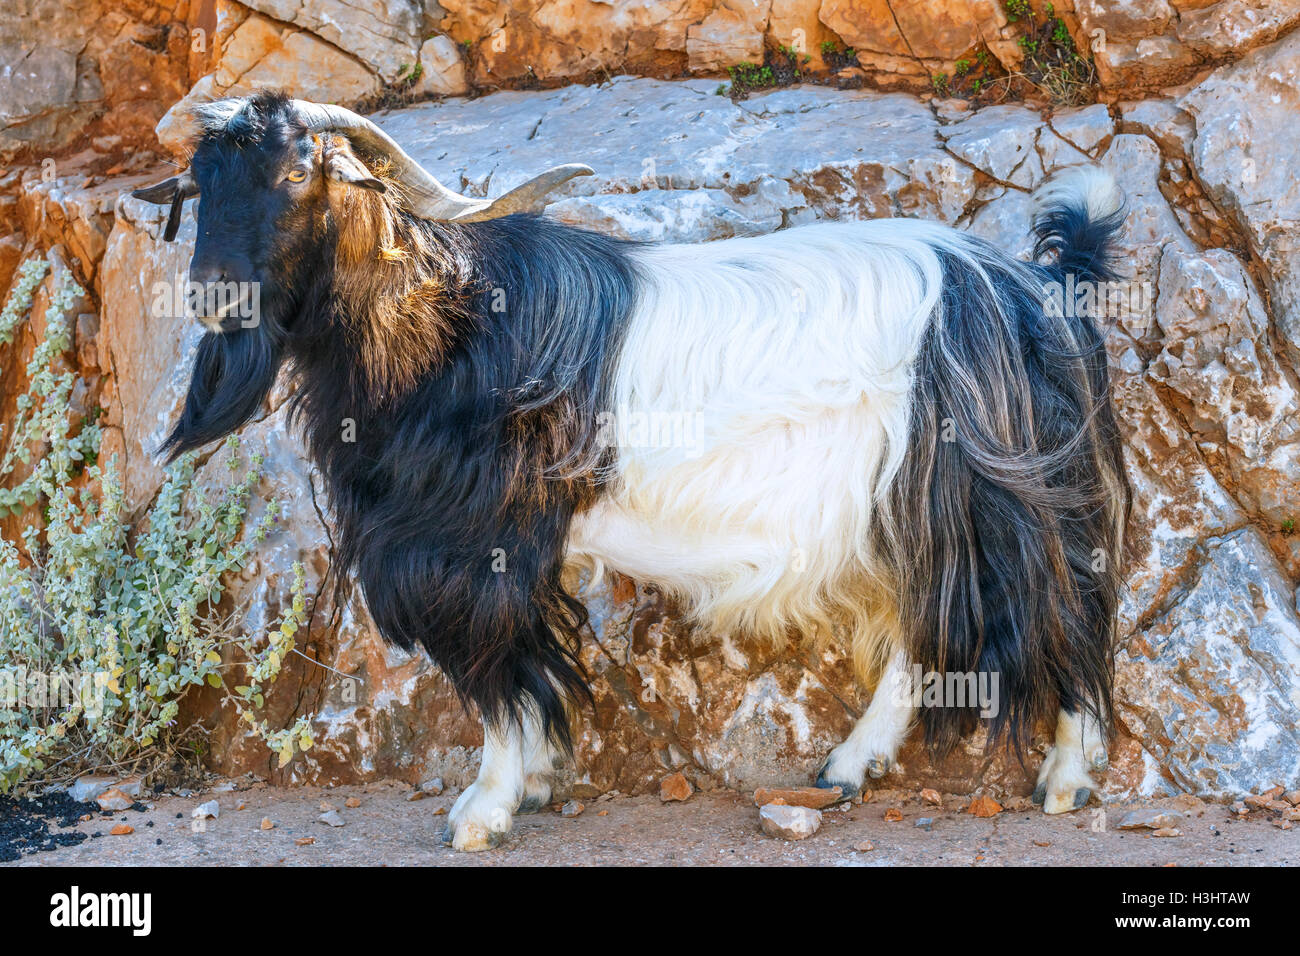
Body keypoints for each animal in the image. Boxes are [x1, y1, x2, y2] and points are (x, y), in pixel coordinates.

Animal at [133, 90, 1130, 851]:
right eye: (202, 181)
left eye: (295, 171)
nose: (213, 292)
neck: (441, 325)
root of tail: (1039, 291)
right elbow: (529, 668)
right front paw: (535, 784)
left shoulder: (475, 549)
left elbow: (498, 675)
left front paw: (484, 810)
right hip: (905, 520)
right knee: (922, 639)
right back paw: (848, 768)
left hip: (1002, 508)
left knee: (1065, 611)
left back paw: (1066, 778)